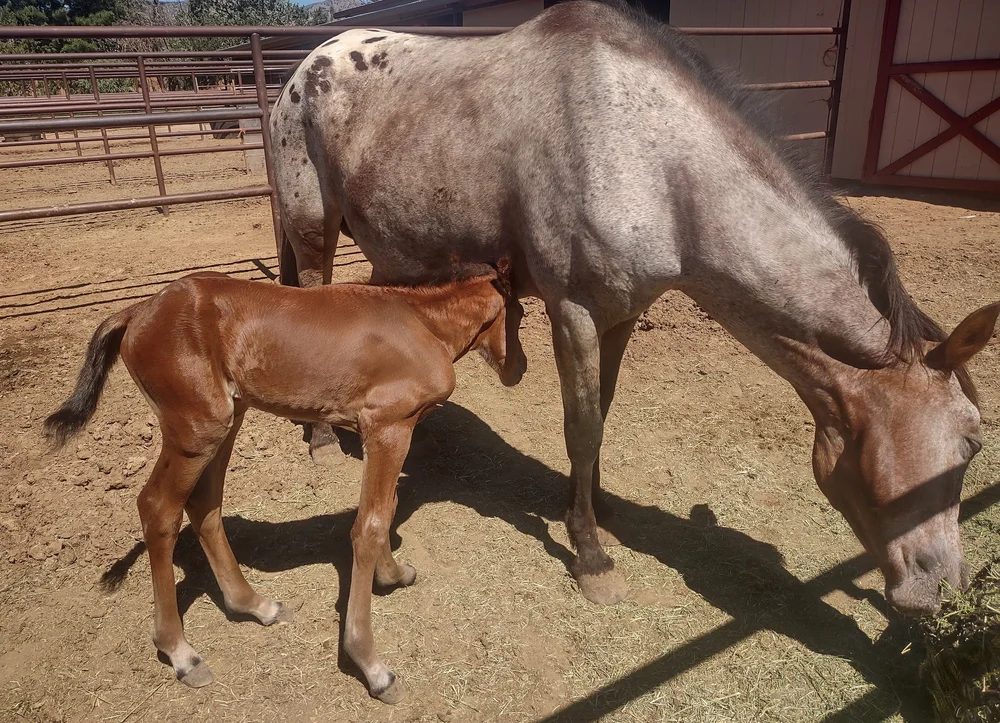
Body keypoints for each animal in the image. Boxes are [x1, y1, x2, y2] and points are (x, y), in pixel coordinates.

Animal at [44, 267, 525, 702]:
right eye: (519, 312)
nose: (518, 369)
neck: (420, 323)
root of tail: (137, 311)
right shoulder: (388, 426)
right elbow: (368, 526)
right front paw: (371, 666)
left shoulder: (388, 435)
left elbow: (385, 507)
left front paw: (393, 575)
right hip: (197, 431)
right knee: (158, 508)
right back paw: (181, 653)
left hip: (229, 420)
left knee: (205, 505)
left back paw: (254, 605)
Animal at [270, 0, 998, 617]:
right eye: (968, 445)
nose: (944, 593)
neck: (647, 156)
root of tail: (306, 67)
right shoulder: (573, 311)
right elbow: (582, 425)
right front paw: (590, 554)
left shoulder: (622, 314)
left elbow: (604, 413)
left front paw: (597, 505)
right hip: (313, 229)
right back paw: (318, 441)